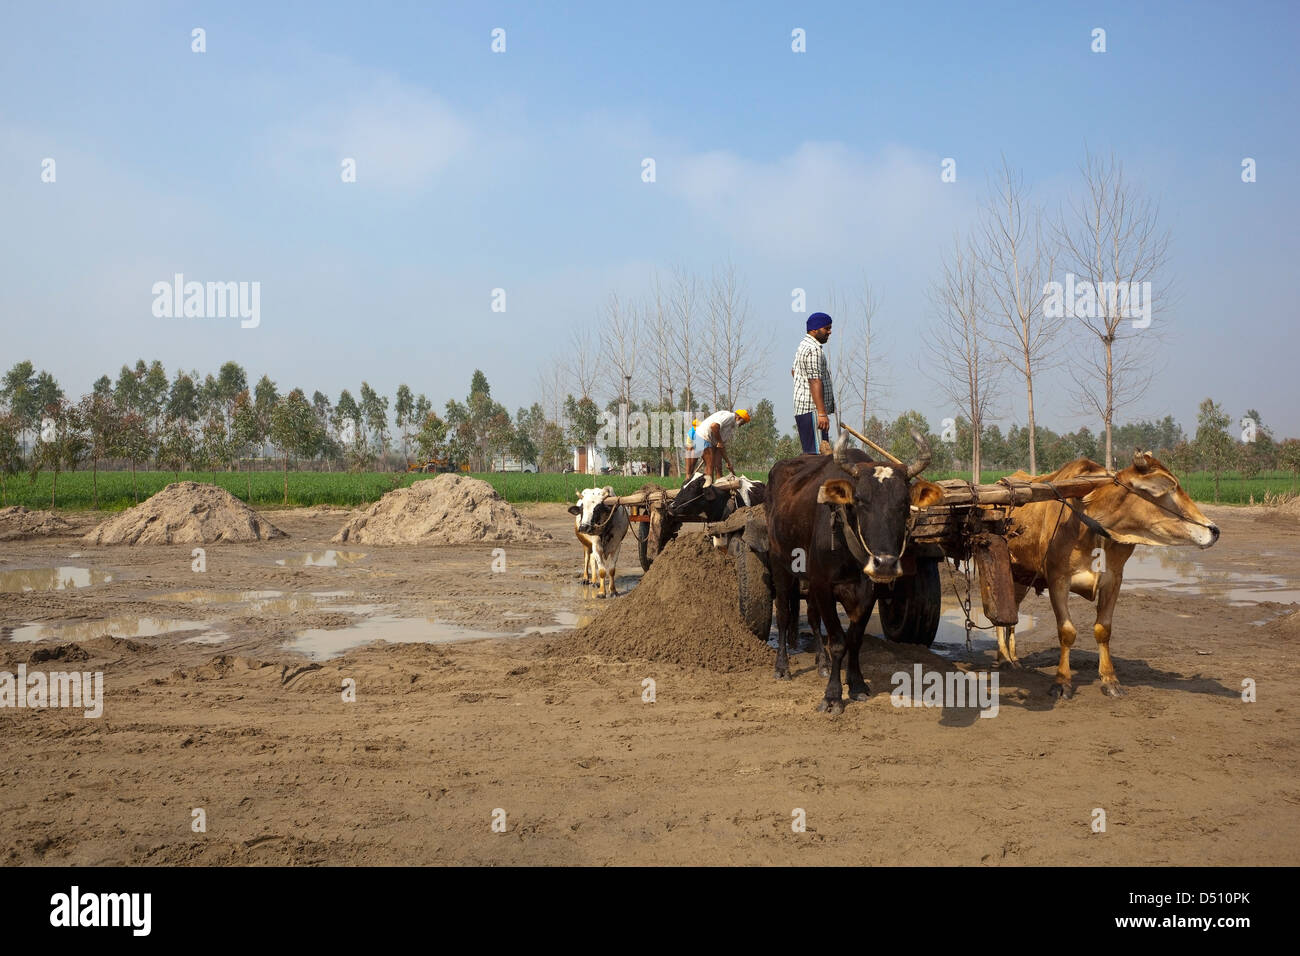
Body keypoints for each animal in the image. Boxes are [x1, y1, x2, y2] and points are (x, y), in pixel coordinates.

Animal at [766, 432, 945, 713]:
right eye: (860, 500)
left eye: (905, 502)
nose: (885, 564)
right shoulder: (823, 586)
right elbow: (838, 641)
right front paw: (832, 696)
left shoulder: (869, 592)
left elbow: (855, 639)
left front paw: (857, 684)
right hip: (780, 565)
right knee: (784, 614)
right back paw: (782, 666)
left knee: (813, 618)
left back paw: (822, 663)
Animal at [996, 450, 1219, 699]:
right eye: (1168, 488)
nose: (1214, 530)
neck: (1090, 523)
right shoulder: (1058, 580)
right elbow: (1067, 631)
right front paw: (1062, 681)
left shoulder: (1114, 579)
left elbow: (1103, 629)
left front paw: (1110, 680)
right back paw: (1004, 659)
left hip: (1020, 577)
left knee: (1011, 614)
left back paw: (1013, 658)